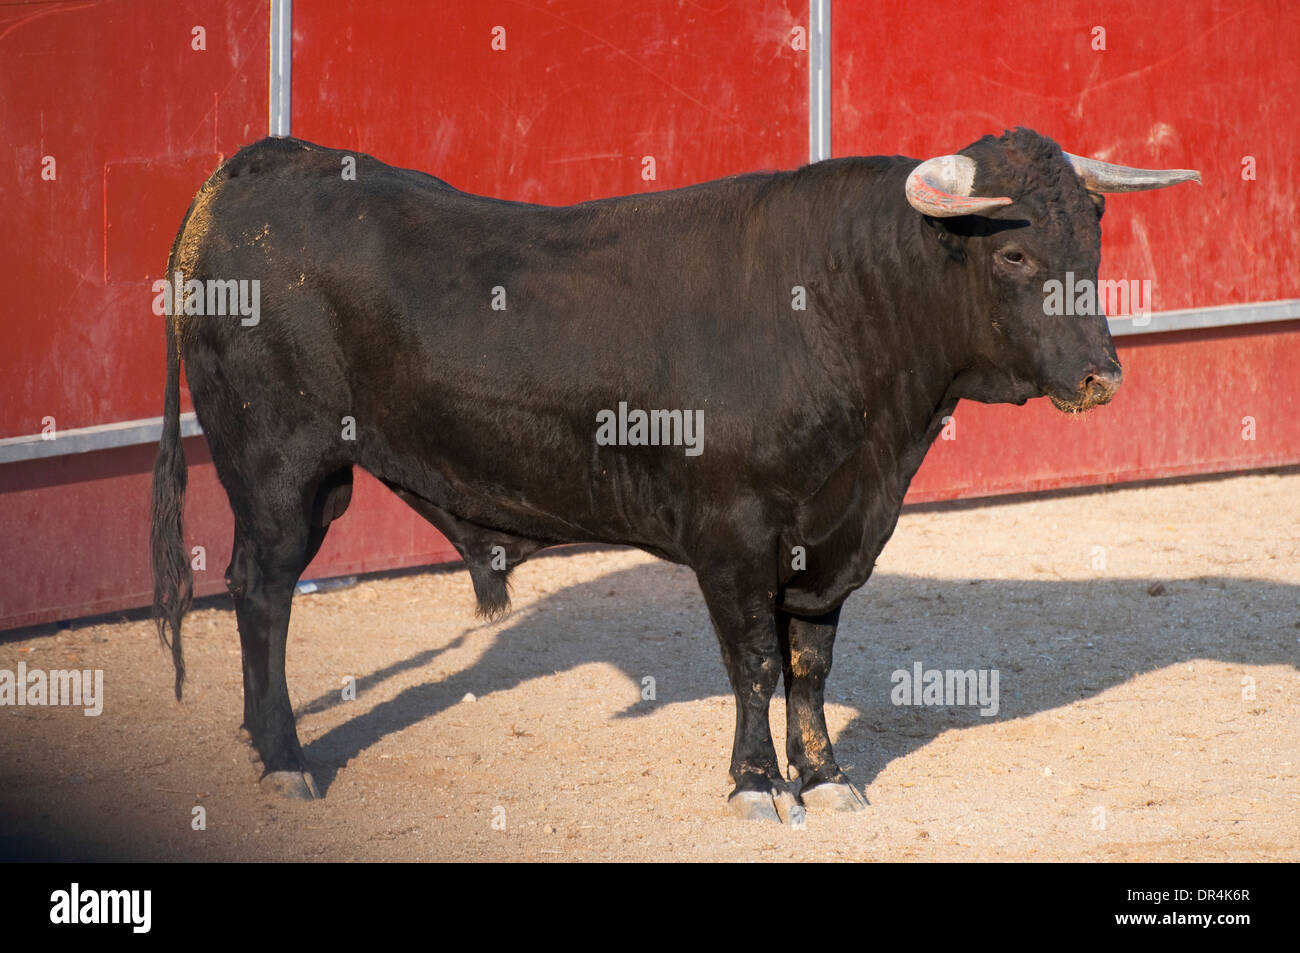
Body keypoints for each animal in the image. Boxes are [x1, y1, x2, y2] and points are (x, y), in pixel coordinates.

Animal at [151, 127, 1198, 823]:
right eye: (1014, 252)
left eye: (1093, 244)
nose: (1101, 375)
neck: (837, 310)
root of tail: (256, 166)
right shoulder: (731, 535)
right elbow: (755, 661)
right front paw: (756, 784)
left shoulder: (836, 536)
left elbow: (810, 662)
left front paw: (826, 777)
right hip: (280, 469)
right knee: (260, 591)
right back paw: (283, 758)